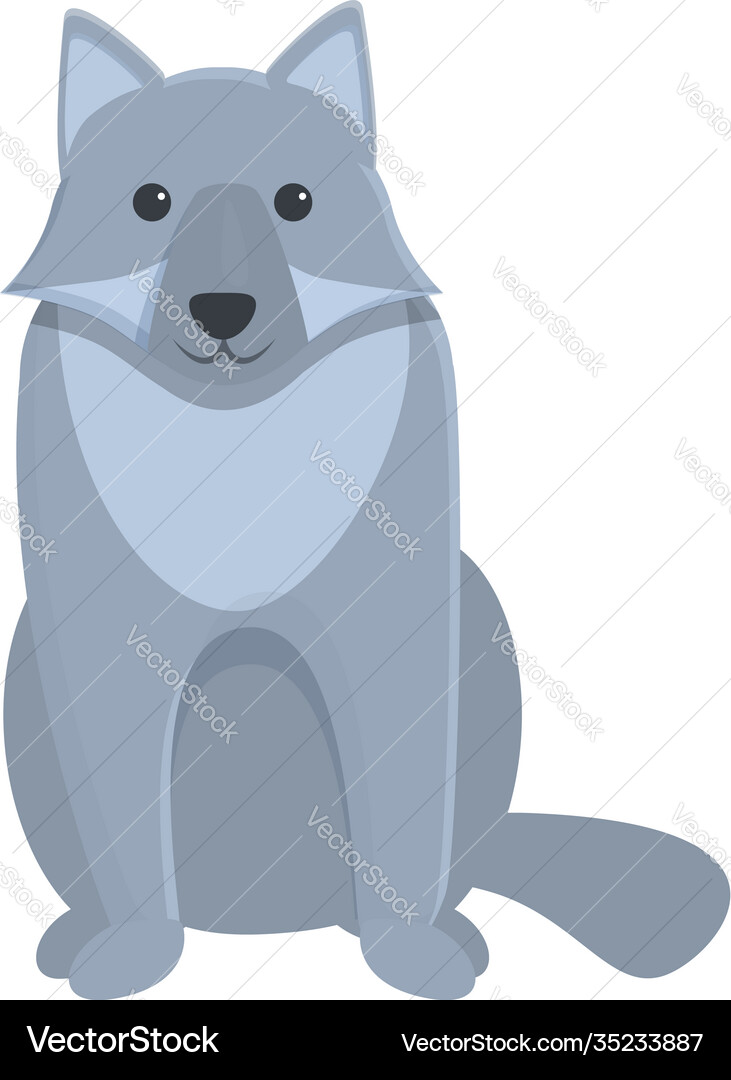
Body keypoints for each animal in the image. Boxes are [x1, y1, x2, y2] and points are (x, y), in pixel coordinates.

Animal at [3, 4, 727, 1000]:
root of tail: (261, 923)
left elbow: (400, 814)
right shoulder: (104, 642)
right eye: (151, 201)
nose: (221, 307)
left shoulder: (393, 627)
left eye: (296, 202)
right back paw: (74, 935)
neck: (232, 435)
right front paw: (134, 955)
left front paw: (409, 954)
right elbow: (121, 827)